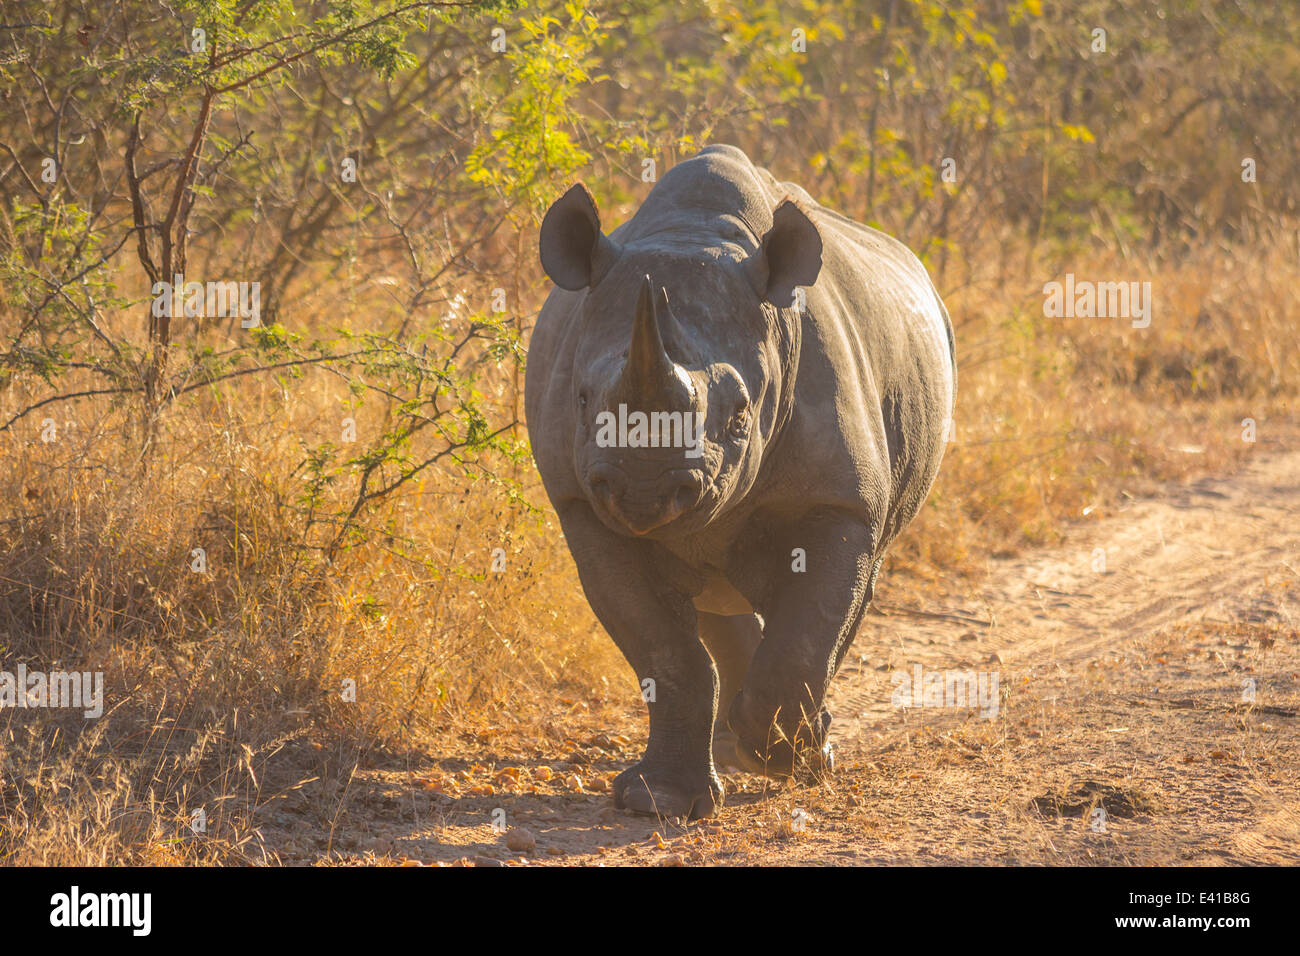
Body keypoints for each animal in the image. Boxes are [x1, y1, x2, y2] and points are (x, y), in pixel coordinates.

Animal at [525, 145, 956, 819]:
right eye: (583, 399)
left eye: (739, 416)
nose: (643, 490)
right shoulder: (583, 505)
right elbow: (666, 652)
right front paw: (658, 802)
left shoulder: (842, 501)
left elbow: (807, 636)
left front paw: (784, 758)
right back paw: (739, 746)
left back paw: (793, 747)